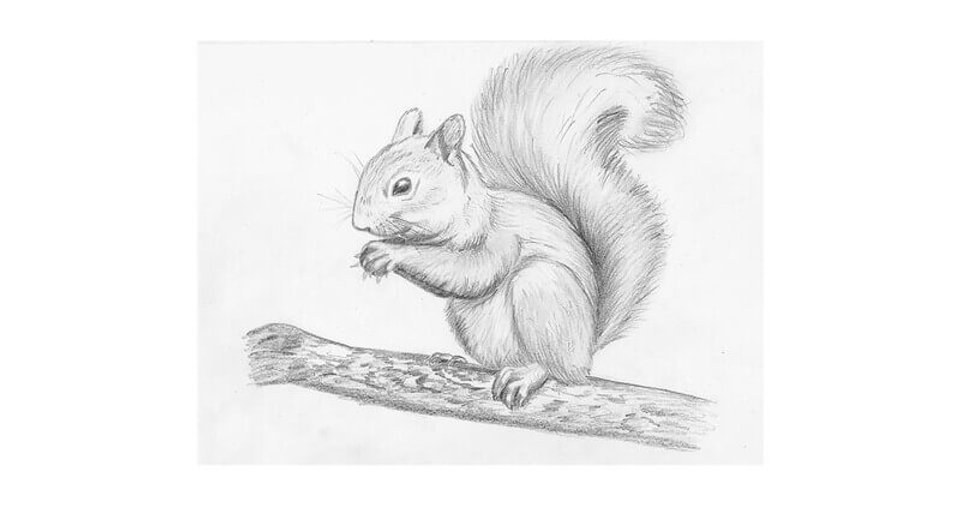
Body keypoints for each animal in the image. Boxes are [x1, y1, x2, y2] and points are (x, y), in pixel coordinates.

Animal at [352, 46, 685, 409]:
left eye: (402, 186)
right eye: (367, 170)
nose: (359, 223)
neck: (471, 210)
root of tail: (586, 349)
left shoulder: (501, 239)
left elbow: (471, 272)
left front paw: (389, 253)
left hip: (543, 291)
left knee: (557, 368)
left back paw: (529, 374)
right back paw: (458, 360)